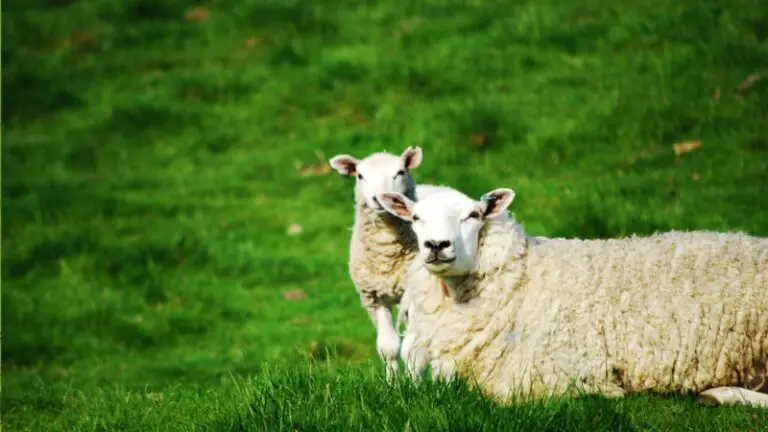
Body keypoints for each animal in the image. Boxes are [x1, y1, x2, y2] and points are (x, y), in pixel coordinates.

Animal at [328, 146, 443, 382]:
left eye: (400, 172)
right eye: (360, 175)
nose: (378, 199)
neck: (386, 253)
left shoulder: (416, 294)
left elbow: (412, 349)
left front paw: (414, 385)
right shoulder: (374, 296)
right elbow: (388, 348)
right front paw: (393, 385)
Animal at [376, 186, 768, 407]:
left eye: (474, 215)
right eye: (415, 218)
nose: (436, 245)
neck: (524, 279)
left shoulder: (555, 372)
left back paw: (722, 395)